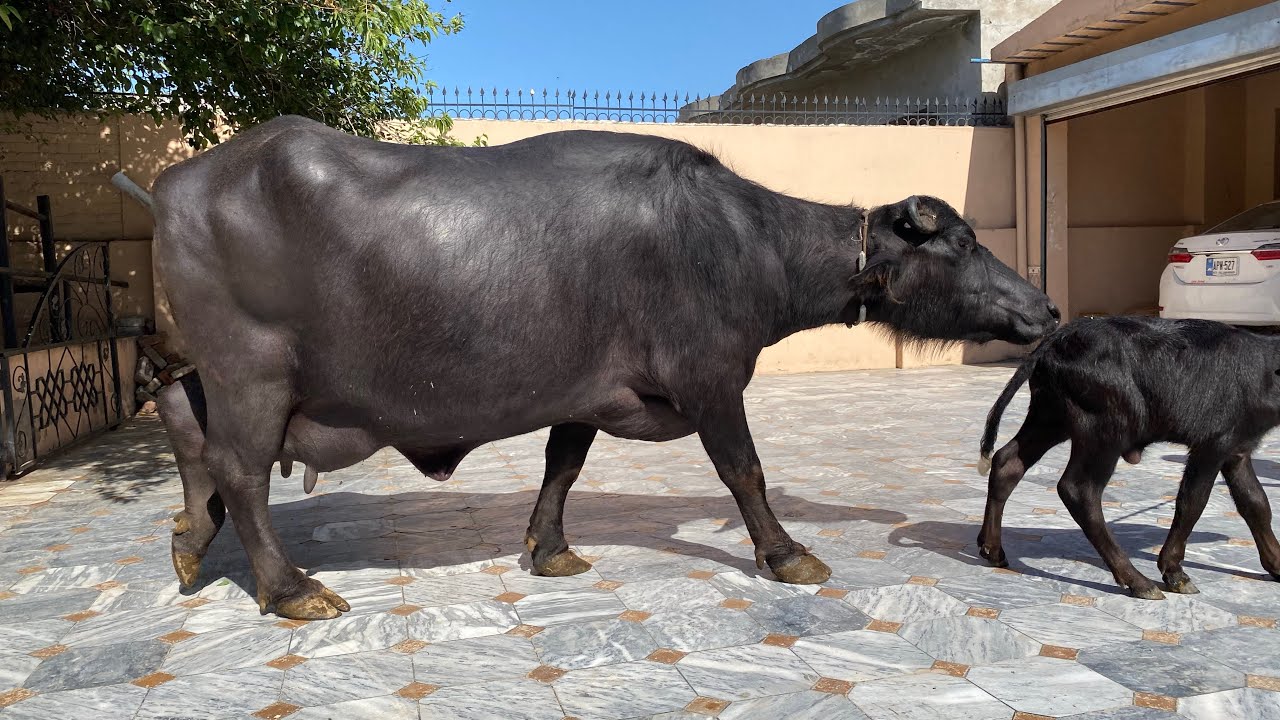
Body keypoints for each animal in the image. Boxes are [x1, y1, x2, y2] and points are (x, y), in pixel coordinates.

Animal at [151, 116, 1057, 618]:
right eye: (963, 243)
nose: (1046, 311)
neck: (741, 243)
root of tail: (176, 182)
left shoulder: (582, 393)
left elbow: (563, 466)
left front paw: (549, 548)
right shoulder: (710, 380)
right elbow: (746, 470)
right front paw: (787, 553)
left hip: (225, 373)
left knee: (182, 418)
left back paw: (191, 542)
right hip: (254, 369)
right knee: (240, 467)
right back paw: (289, 588)